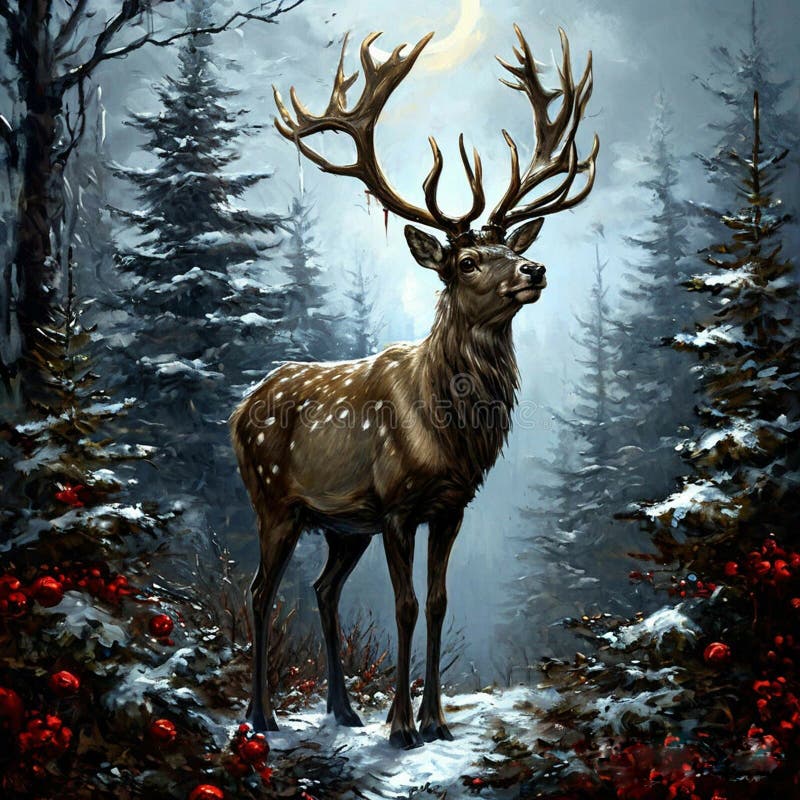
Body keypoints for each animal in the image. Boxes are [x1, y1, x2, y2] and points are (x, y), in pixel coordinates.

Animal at [230, 25, 598, 749]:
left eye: (513, 247)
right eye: (468, 261)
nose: (535, 269)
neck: (450, 432)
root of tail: (239, 408)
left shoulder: (451, 505)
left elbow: (437, 603)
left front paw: (436, 720)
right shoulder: (396, 503)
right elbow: (402, 606)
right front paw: (401, 724)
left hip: (341, 525)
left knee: (322, 590)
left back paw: (343, 710)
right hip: (275, 499)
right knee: (259, 590)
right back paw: (261, 716)